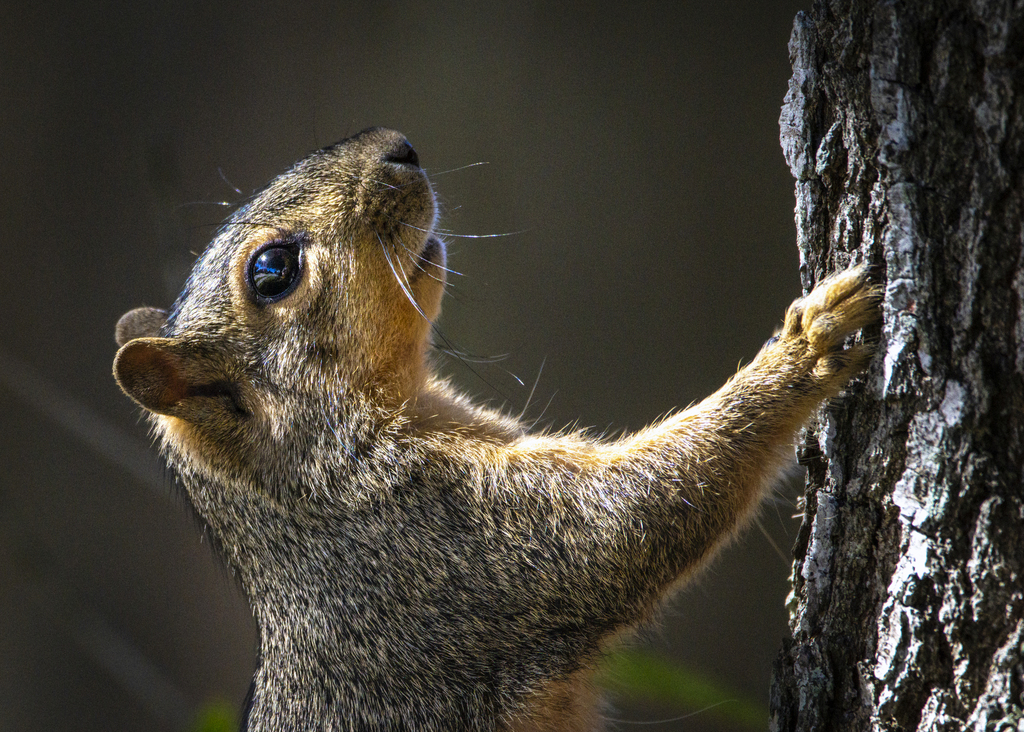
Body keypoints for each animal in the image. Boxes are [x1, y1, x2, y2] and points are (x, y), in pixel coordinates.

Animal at [113, 127, 879, 731]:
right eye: (273, 271)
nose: (399, 146)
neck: (309, 485)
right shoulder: (447, 547)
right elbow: (636, 517)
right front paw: (805, 347)